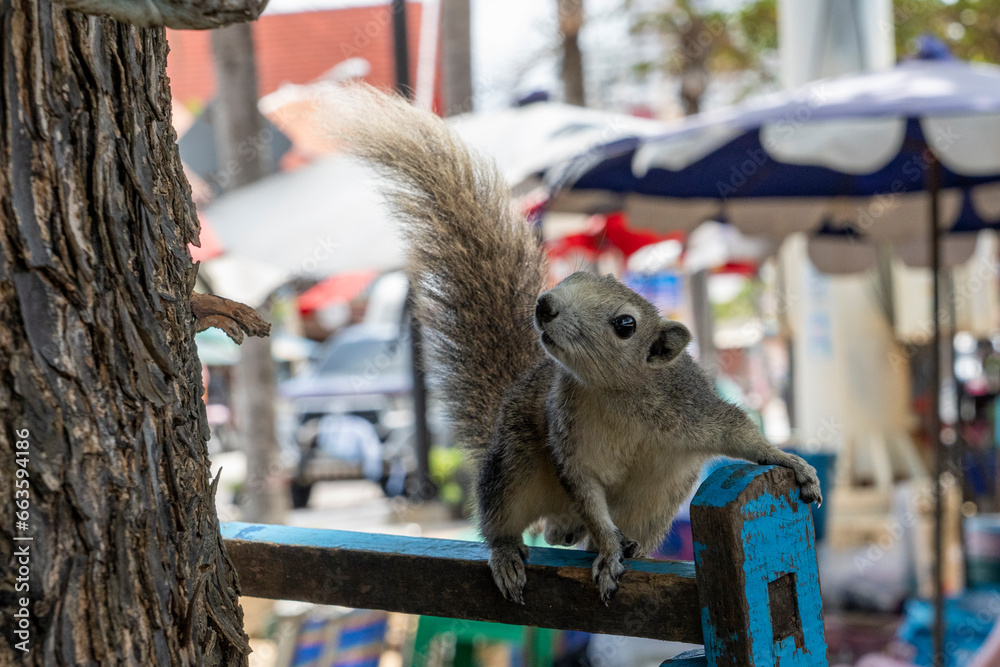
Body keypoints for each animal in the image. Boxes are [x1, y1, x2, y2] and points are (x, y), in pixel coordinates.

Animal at [334, 85, 822, 605]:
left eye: (625, 324)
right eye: (574, 277)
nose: (544, 304)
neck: (615, 393)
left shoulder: (692, 410)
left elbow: (739, 431)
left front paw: (790, 462)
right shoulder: (572, 446)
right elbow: (588, 495)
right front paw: (607, 554)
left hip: (654, 500)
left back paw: (624, 543)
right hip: (515, 467)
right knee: (508, 520)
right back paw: (512, 553)